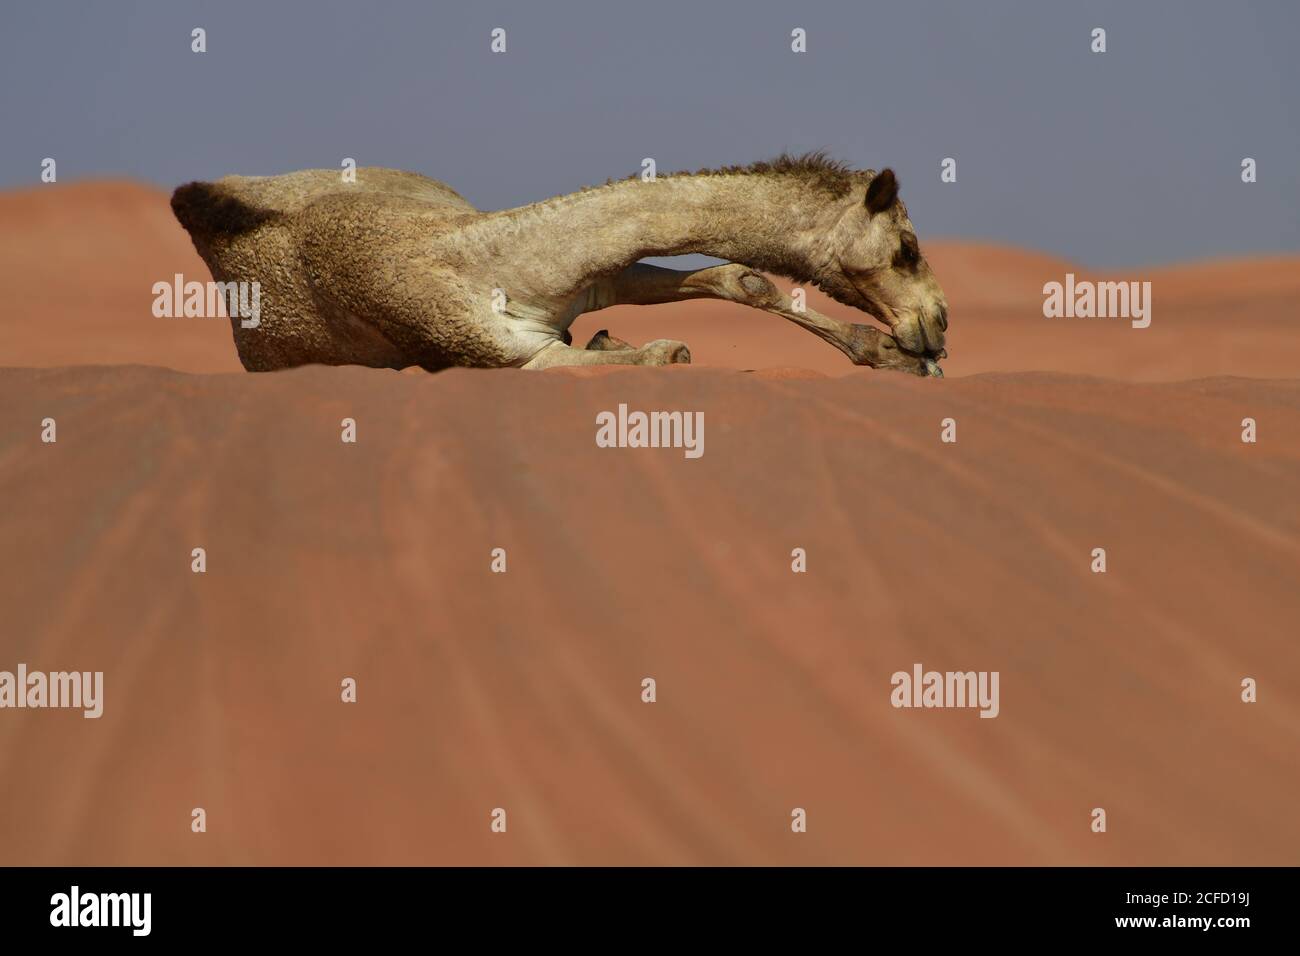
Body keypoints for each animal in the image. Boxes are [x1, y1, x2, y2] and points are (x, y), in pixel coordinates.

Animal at [170, 154, 948, 376]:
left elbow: (741, 279)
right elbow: (666, 354)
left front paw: (886, 355)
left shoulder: (593, 279)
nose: (938, 324)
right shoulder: (517, 356)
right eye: (906, 248)